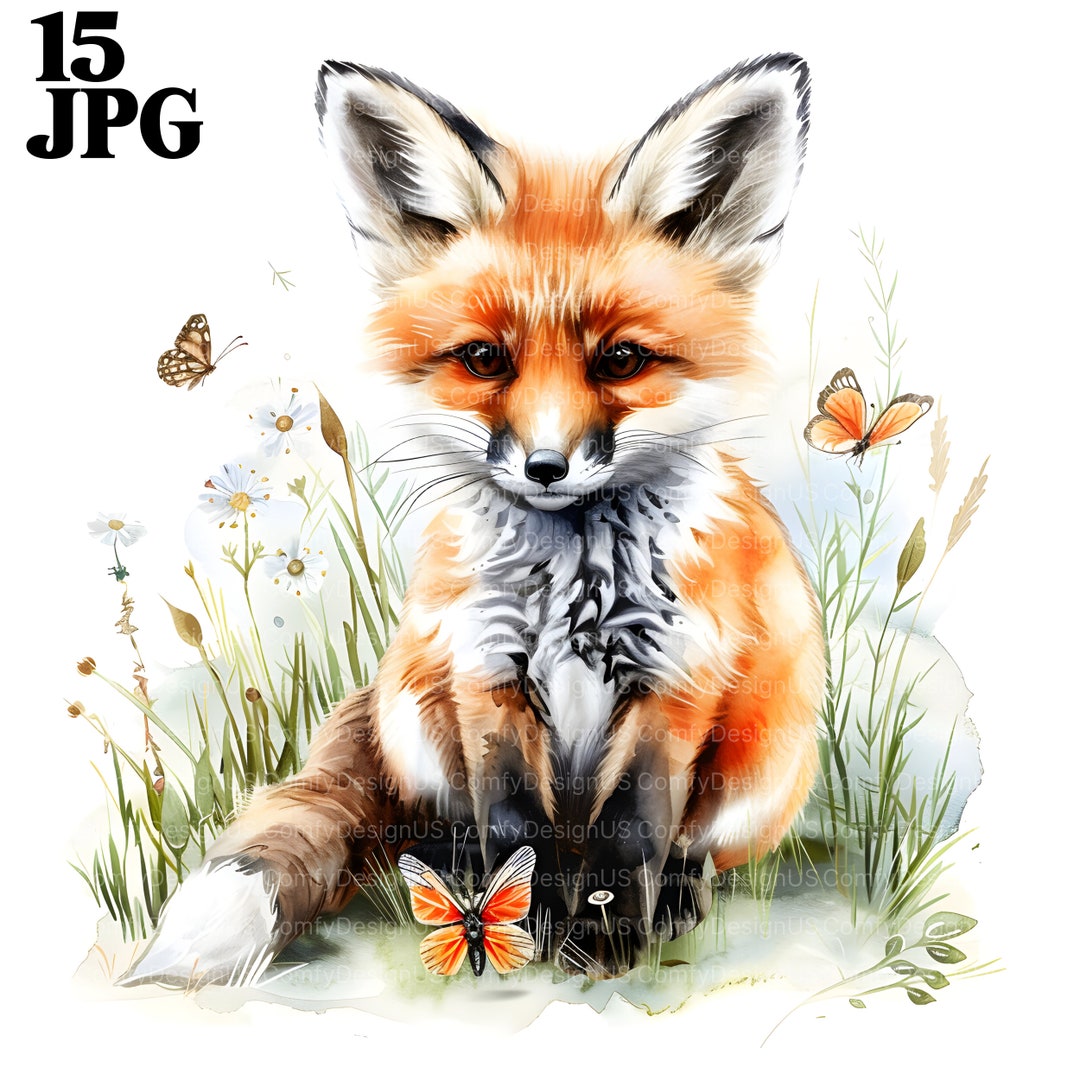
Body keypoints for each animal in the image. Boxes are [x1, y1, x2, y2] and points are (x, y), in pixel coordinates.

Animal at [124, 53, 825, 985]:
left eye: (623, 360)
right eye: (485, 359)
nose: (545, 467)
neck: (572, 594)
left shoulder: (672, 679)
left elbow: (630, 832)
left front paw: (605, 940)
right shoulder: (485, 675)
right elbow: (515, 823)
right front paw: (513, 927)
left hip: (762, 764)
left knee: (693, 847)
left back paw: (674, 895)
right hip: (415, 711)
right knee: (430, 826)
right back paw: (456, 875)